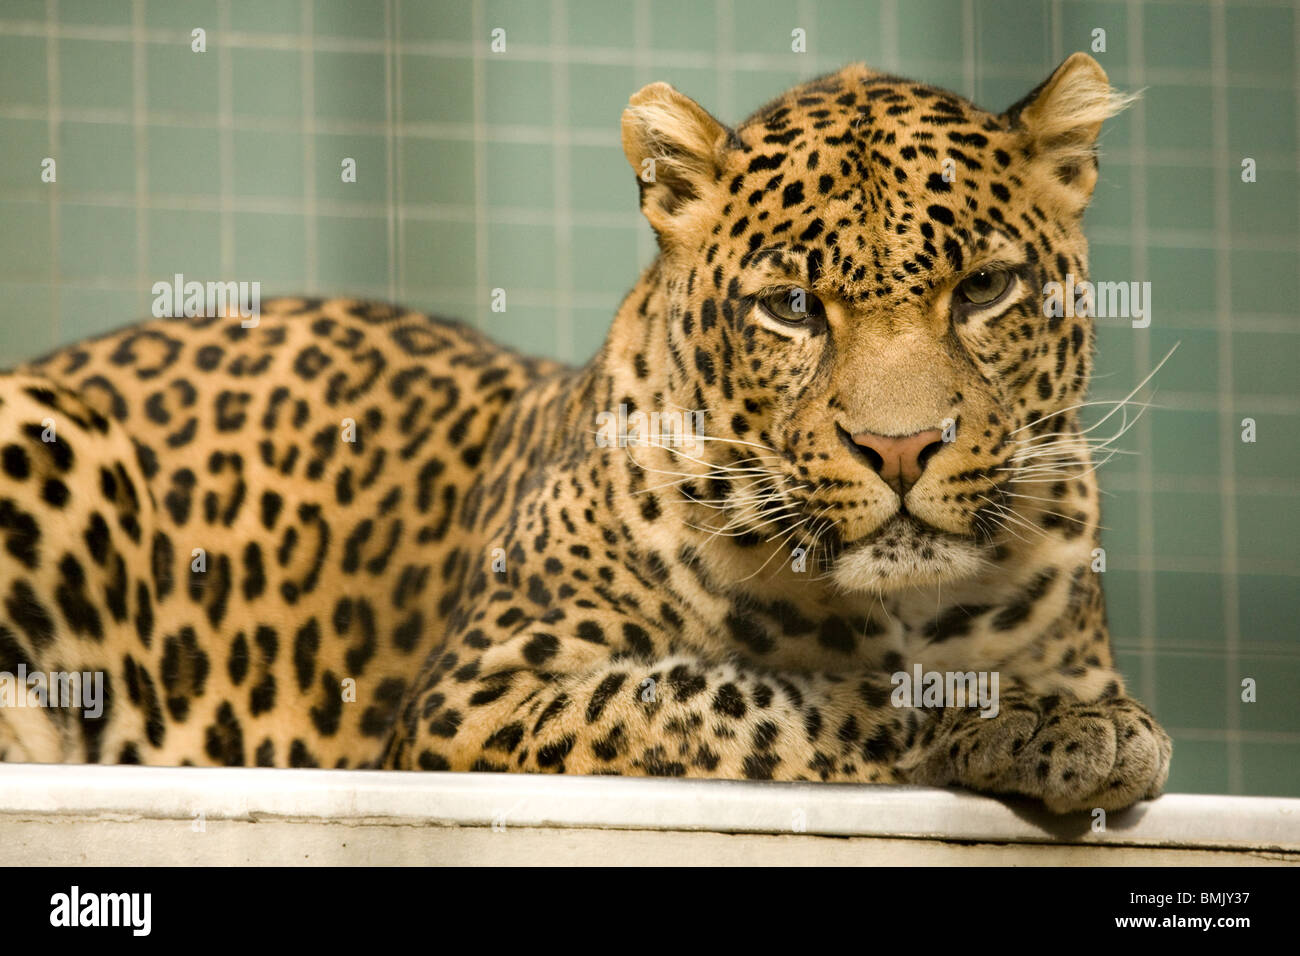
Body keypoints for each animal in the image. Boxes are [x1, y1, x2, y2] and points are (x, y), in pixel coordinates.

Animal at [0, 53, 1170, 813]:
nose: (901, 448)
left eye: (983, 289)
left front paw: (1076, 718)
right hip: (44, 425)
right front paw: (1024, 721)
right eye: (791, 308)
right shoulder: (483, 692)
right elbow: (773, 699)